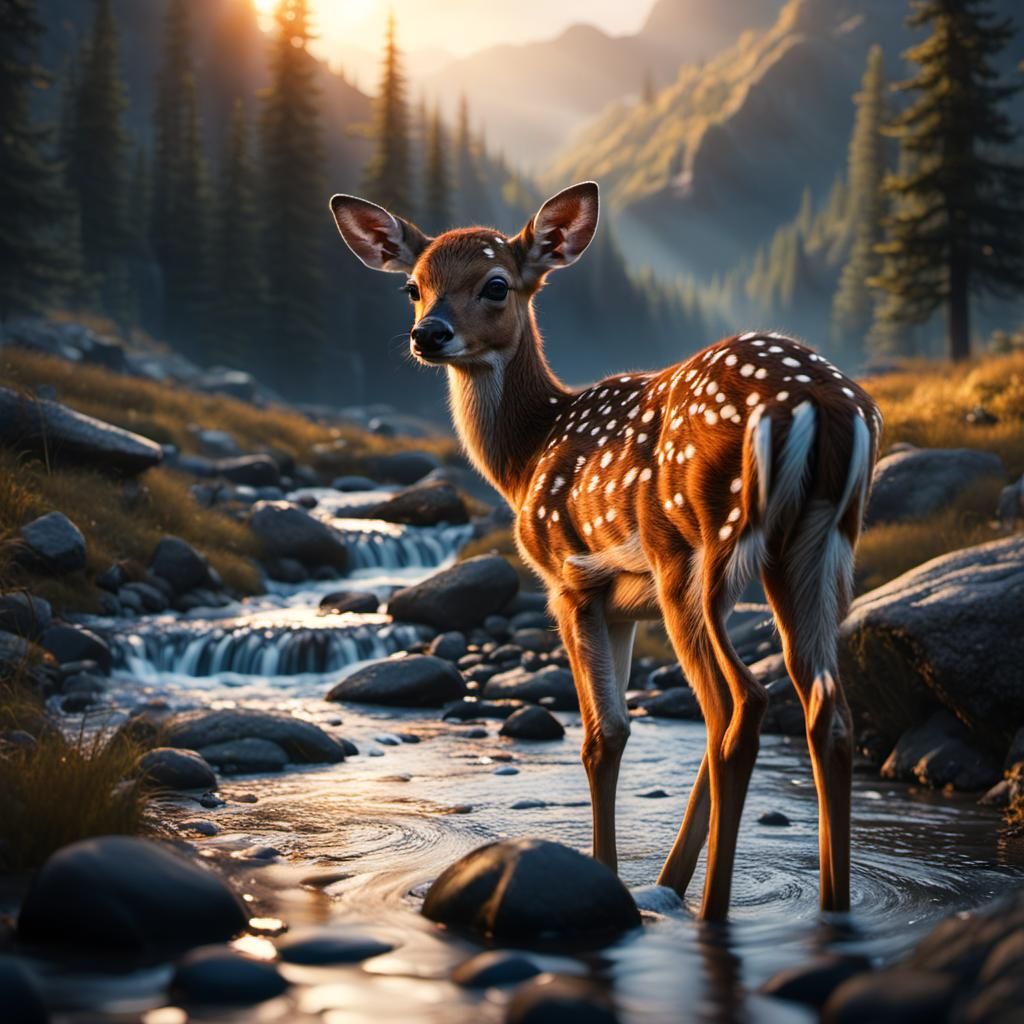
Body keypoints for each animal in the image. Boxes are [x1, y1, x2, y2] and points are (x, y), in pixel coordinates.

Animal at [330, 182, 881, 922]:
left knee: (738, 706)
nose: (429, 334)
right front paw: (650, 882)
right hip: (819, 550)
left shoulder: (568, 581)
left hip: (694, 555)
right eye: (412, 288)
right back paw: (827, 905)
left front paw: (608, 875)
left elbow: (603, 734)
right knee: (825, 709)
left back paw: (712, 909)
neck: (526, 456)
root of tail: (821, 403)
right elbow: (622, 728)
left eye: (496, 284)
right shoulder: (621, 604)